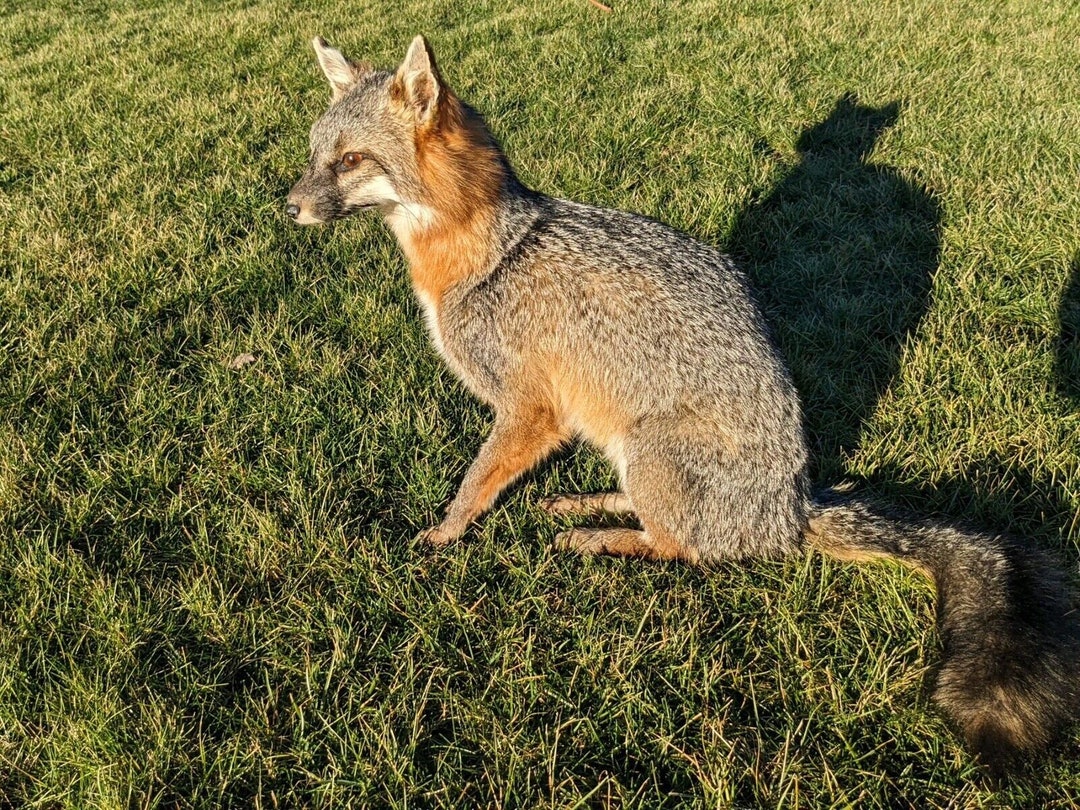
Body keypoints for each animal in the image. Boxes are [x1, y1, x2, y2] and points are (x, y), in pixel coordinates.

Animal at [286, 34, 1080, 775]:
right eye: (315, 155)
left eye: (351, 161)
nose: (285, 205)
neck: (488, 251)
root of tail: (792, 506)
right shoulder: (548, 414)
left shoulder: (529, 410)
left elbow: (475, 482)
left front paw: (444, 534)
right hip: (628, 445)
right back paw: (592, 505)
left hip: (651, 446)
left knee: (683, 548)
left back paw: (600, 538)